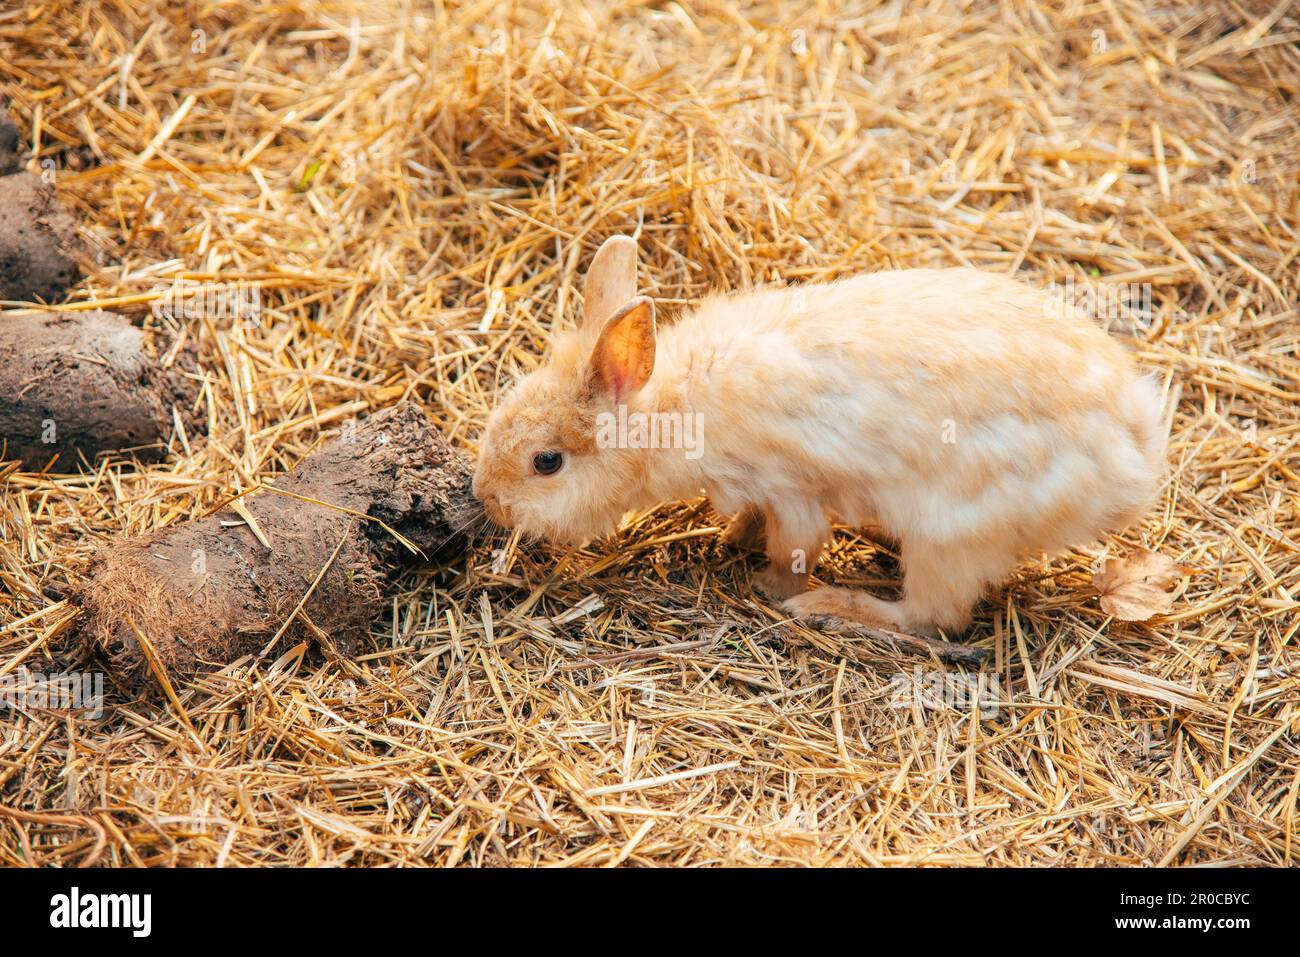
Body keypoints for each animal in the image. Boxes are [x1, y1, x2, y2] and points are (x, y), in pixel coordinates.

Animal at [472, 235, 1167, 635]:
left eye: (547, 462)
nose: (487, 500)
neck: (669, 407)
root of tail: (1134, 456)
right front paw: (730, 539)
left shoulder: (791, 493)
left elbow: (794, 548)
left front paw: (768, 585)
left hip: (949, 538)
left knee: (932, 619)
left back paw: (832, 608)